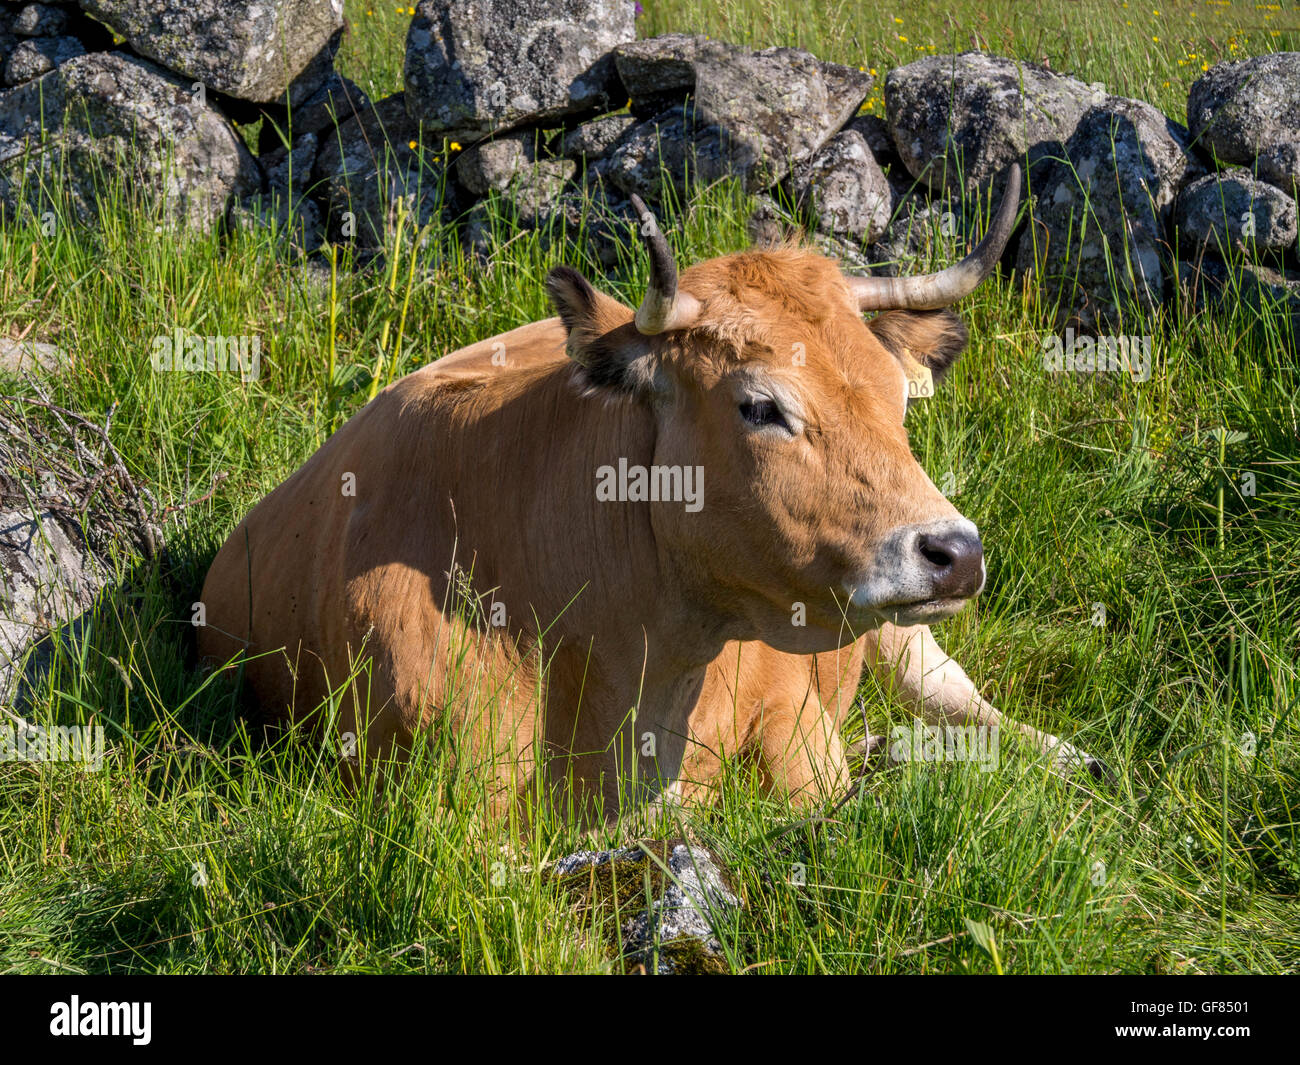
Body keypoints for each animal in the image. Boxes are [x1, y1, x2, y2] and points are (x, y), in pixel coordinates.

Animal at [197, 162, 1102, 825]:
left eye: (897, 396)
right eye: (760, 405)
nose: (954, 551)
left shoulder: (799, 724)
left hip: (906, 641)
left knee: (969, 704)